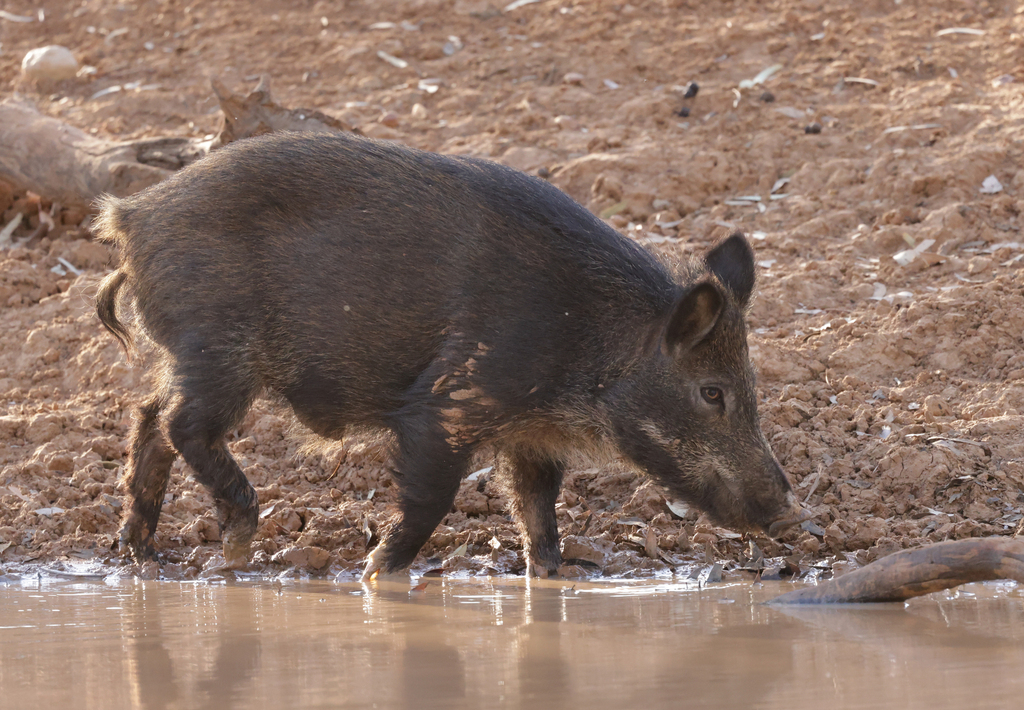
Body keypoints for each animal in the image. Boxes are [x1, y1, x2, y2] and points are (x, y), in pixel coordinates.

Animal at [94, 131, 806, 579]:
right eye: (712, 391)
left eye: (750, 385)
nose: (790, 516)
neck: (587, 345)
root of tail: (129, 217)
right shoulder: (449, 404)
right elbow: (431, 499)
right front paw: (375, 572)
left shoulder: (531, 437)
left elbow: (539, 516)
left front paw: (553, 575)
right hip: (220, 348)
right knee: (181, 423)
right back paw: (238, 544)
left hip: (193, 354)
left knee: (148, 417)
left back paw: (142, 555)